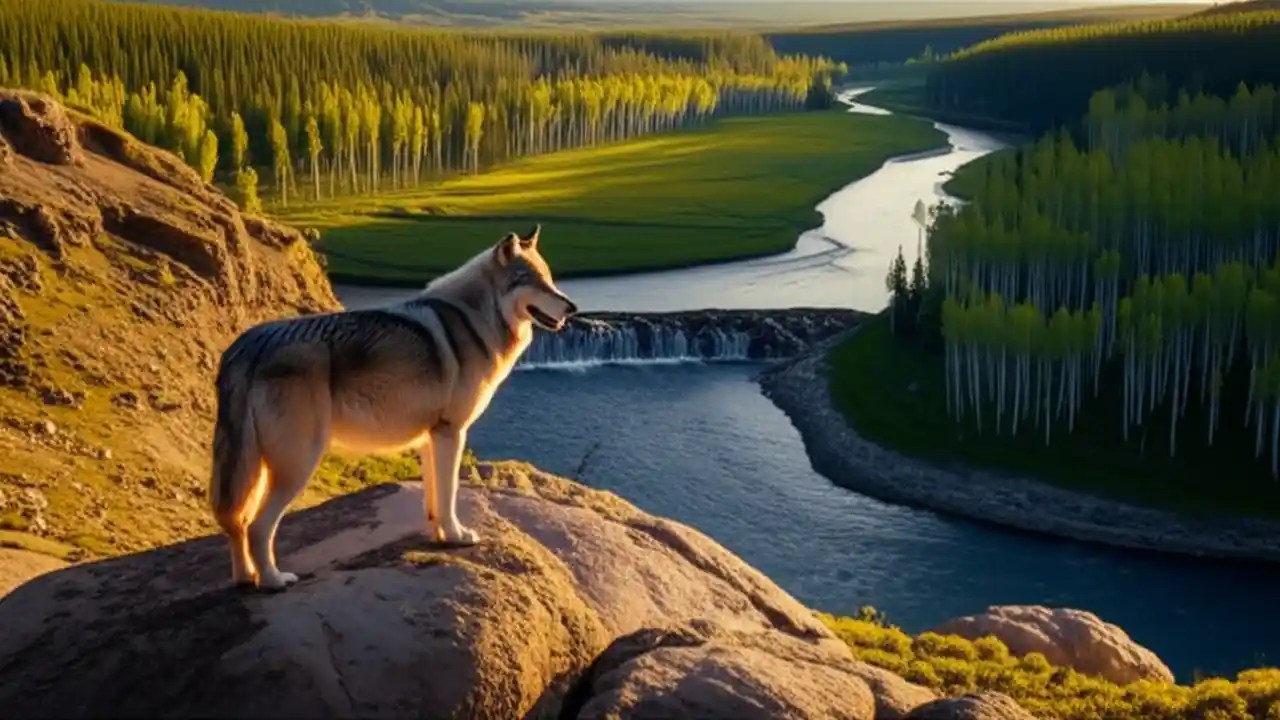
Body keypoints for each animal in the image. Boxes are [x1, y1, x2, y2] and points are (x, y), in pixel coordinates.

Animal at [207, 225, 576, 590]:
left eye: (549, 279)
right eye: (535, 282)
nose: (572, 308)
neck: (475, 319)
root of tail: (248, 344)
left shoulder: (431, 439)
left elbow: (434, 500)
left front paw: (440, 535)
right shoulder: (451, 433)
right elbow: (450, 494)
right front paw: (457, 537)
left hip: (256, 470)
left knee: (236, 521)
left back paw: (246, 577)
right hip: (296, 465)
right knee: (256, 525)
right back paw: (272, 580)